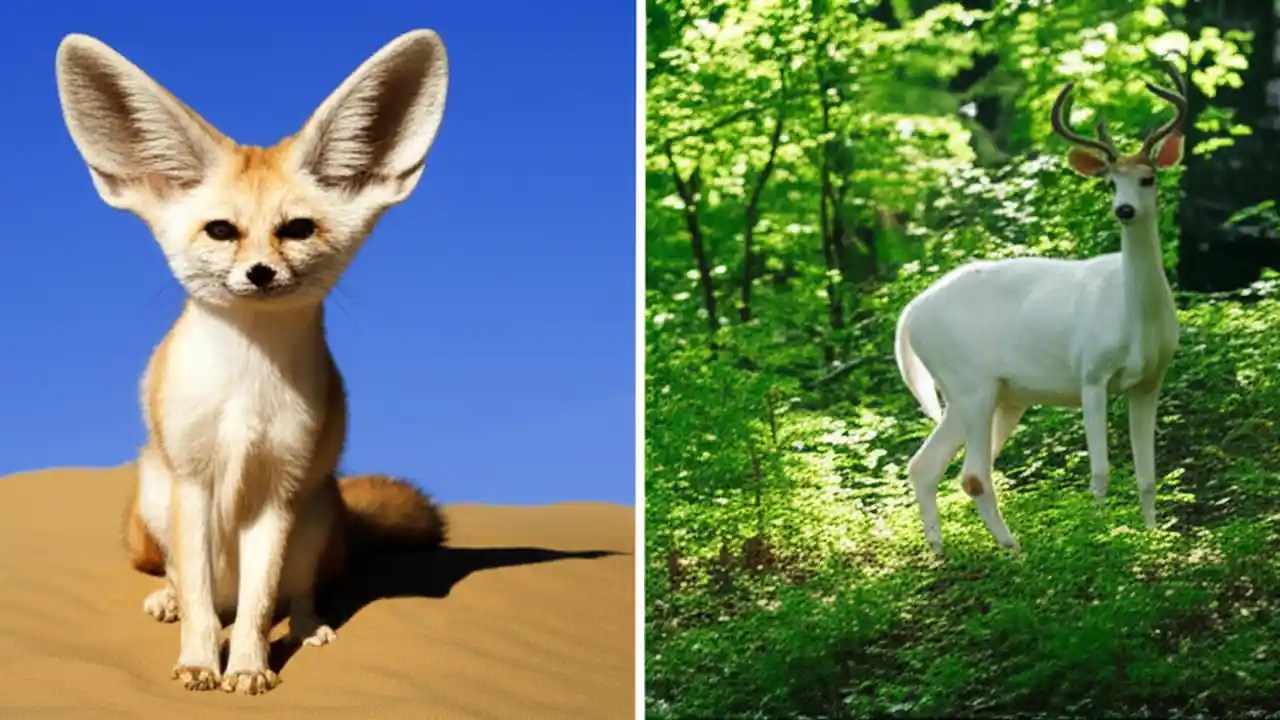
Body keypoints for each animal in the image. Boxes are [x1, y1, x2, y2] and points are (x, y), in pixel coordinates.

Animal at [54, 30, 450, 695]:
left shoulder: (278, 493)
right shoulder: (192, 480)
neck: (245, 389)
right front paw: (197, 661)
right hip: (155, 492)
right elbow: (198, 598)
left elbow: (260, 605)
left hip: (316, 512)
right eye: (221, 231)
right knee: (188, 584)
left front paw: (246, 668)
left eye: (297, 230)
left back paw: (309, 627)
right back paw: (169, 603)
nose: (260, 273)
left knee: (295, 594)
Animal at [894, 57, 1187, 554]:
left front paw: (1152, 539)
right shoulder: (1091, 372)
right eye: (1110, 183)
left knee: (925, 465)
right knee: (973, 474)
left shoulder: (1150, 381)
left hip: (985, 394)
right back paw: (1013, 549)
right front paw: (1099, 537)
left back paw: (939, 550)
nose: (1125, 210)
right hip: (970, 382)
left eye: (1147, 178)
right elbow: (1101, 471)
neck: (1135, 320)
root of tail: (910, 313)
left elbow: (1147, 476)